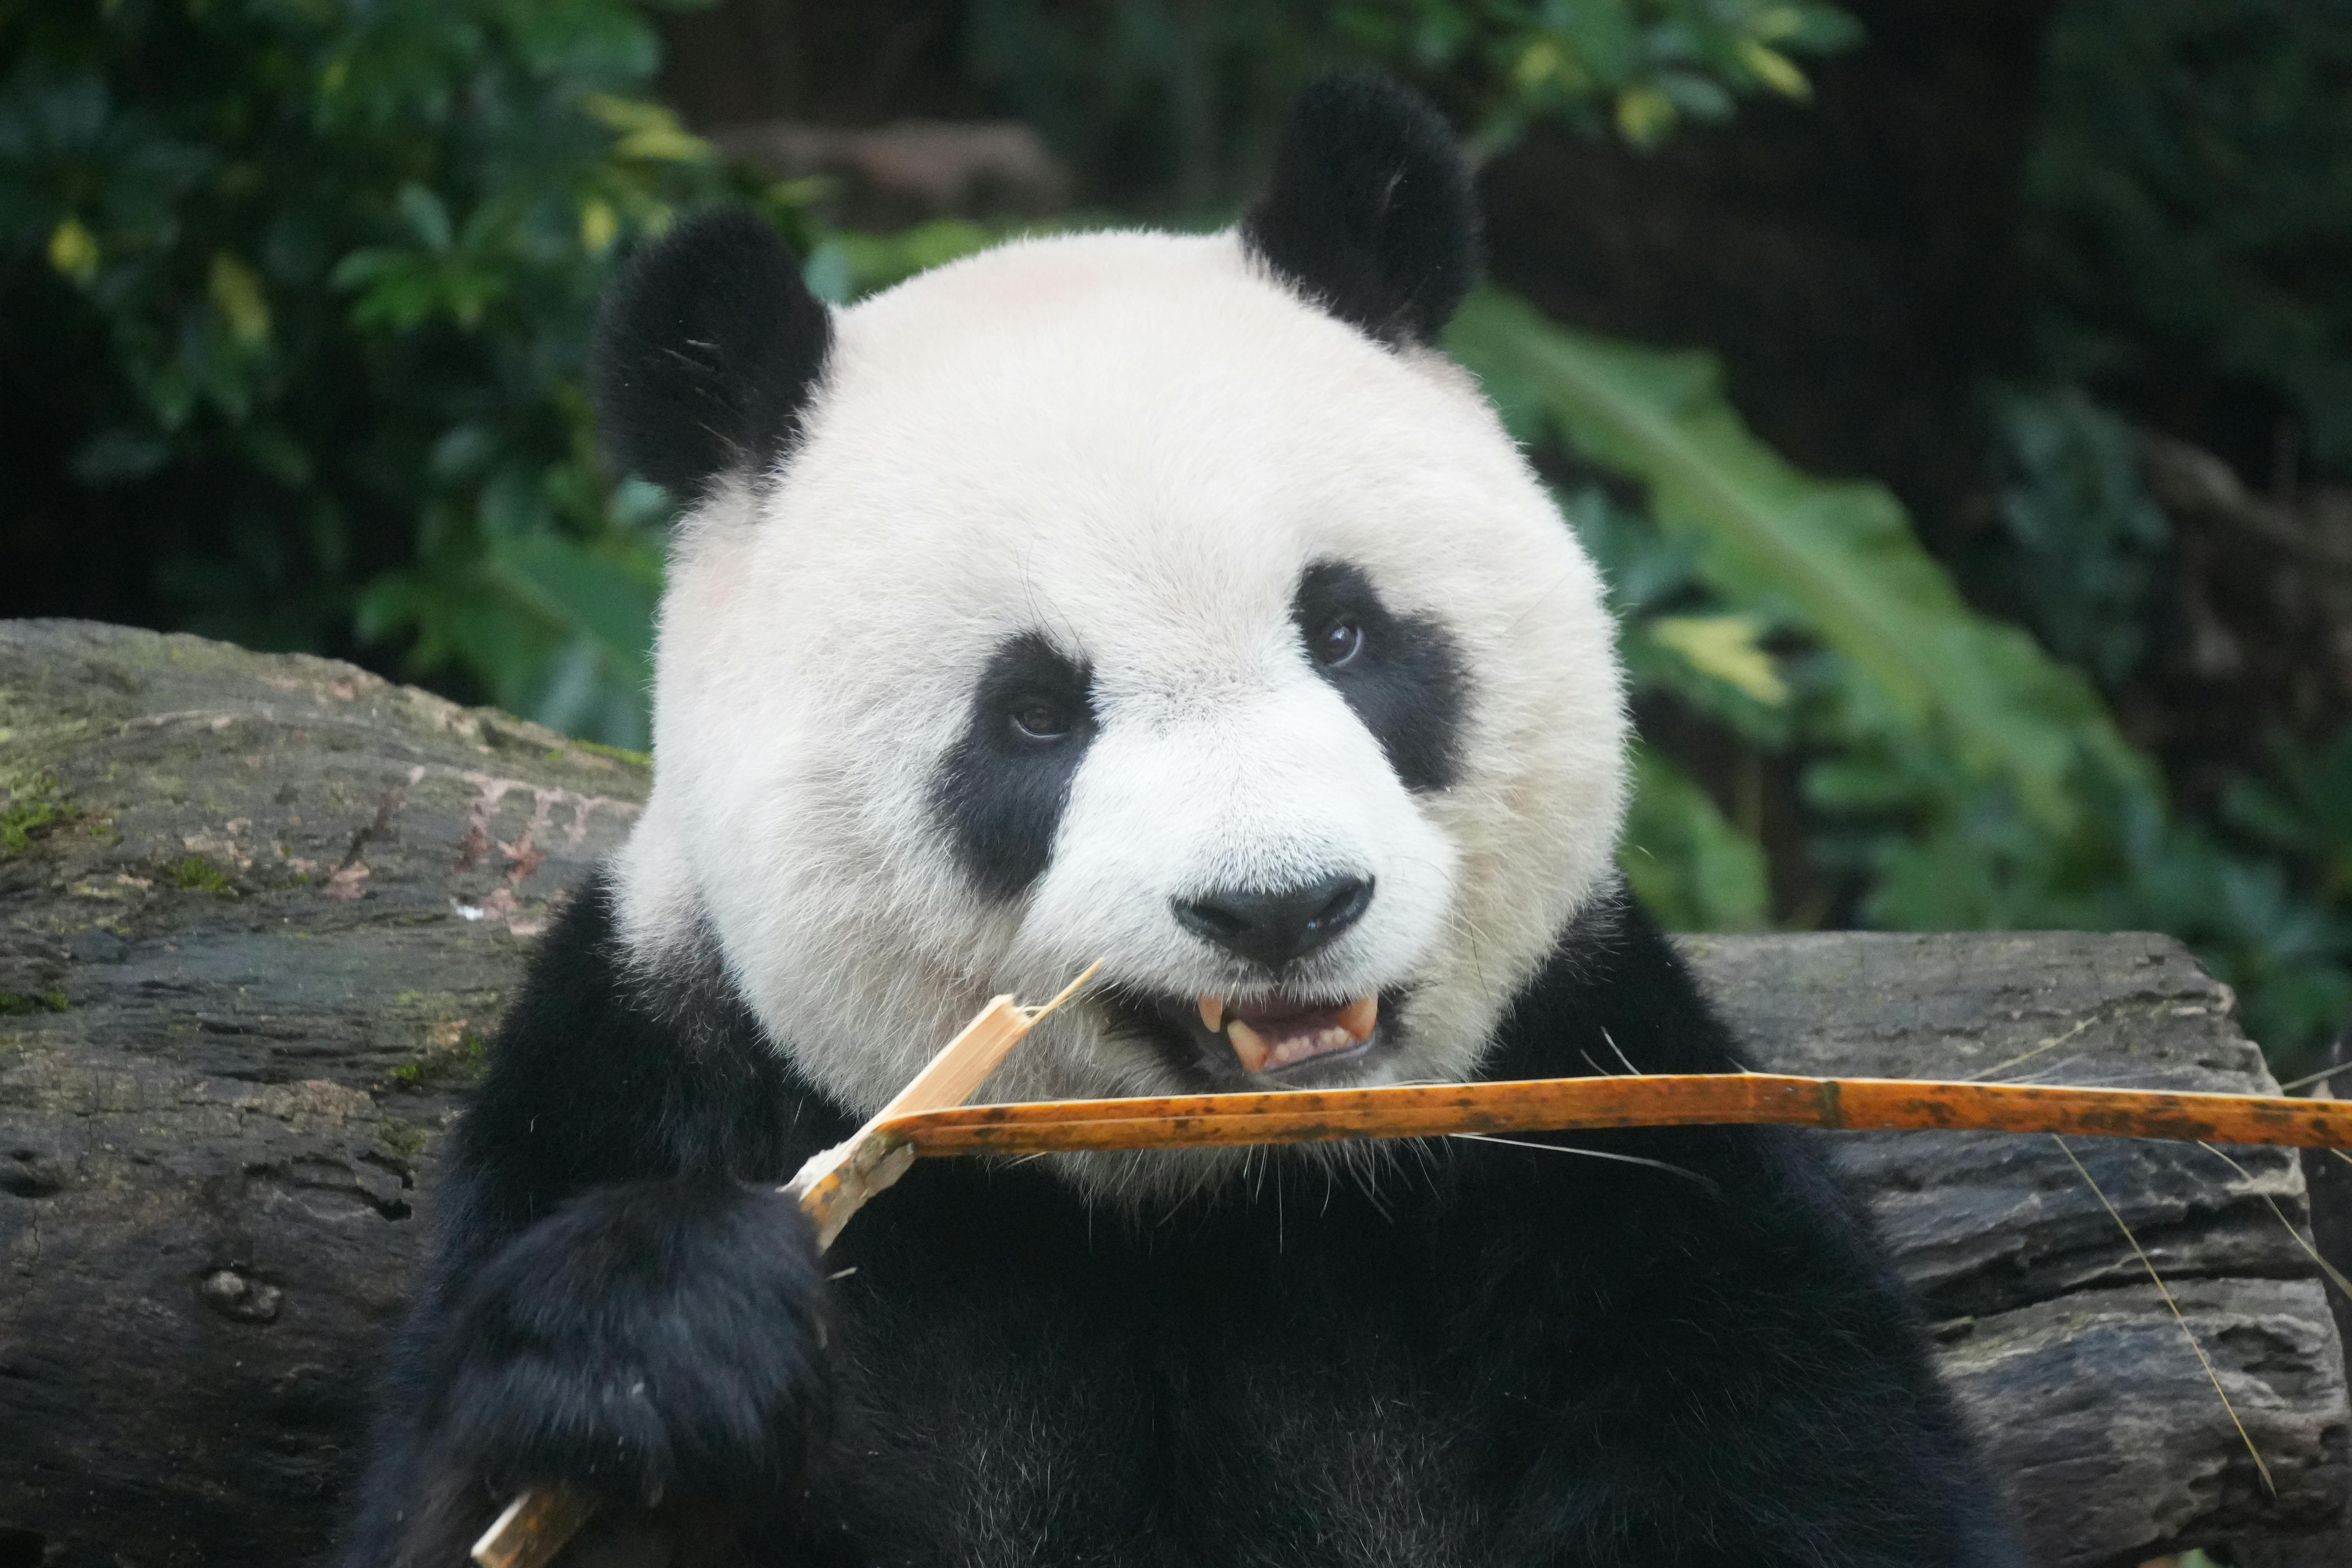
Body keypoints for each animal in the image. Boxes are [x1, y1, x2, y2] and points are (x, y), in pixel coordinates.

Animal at [343, 74, 2021, 1568]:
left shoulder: (1601, 1127)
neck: (1216, 1192)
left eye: (1345, 633)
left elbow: (1803, 1468)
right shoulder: (657, 1070)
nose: (1281, 906)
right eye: (1033, 713)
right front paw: (662, 1355)